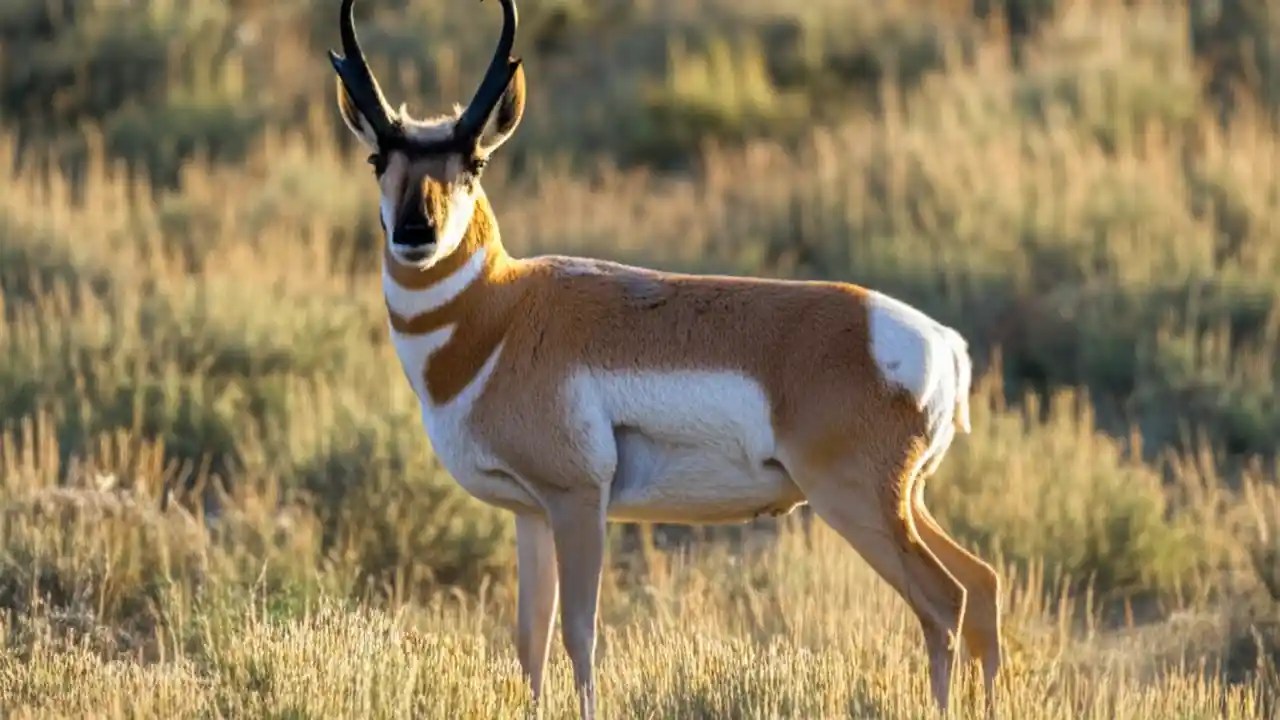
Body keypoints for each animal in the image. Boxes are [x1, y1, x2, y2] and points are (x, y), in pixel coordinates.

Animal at [328, 0, 1003, 715]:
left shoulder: (578, 500)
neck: (503, 314)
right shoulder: (529, 512)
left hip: (857, 503)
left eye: (475, 160)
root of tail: (941, 343)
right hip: (905, 502)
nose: (416, 233)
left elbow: (580, 632)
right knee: (982, 584)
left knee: (944, 601)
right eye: (377, 157)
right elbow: (530, 638)